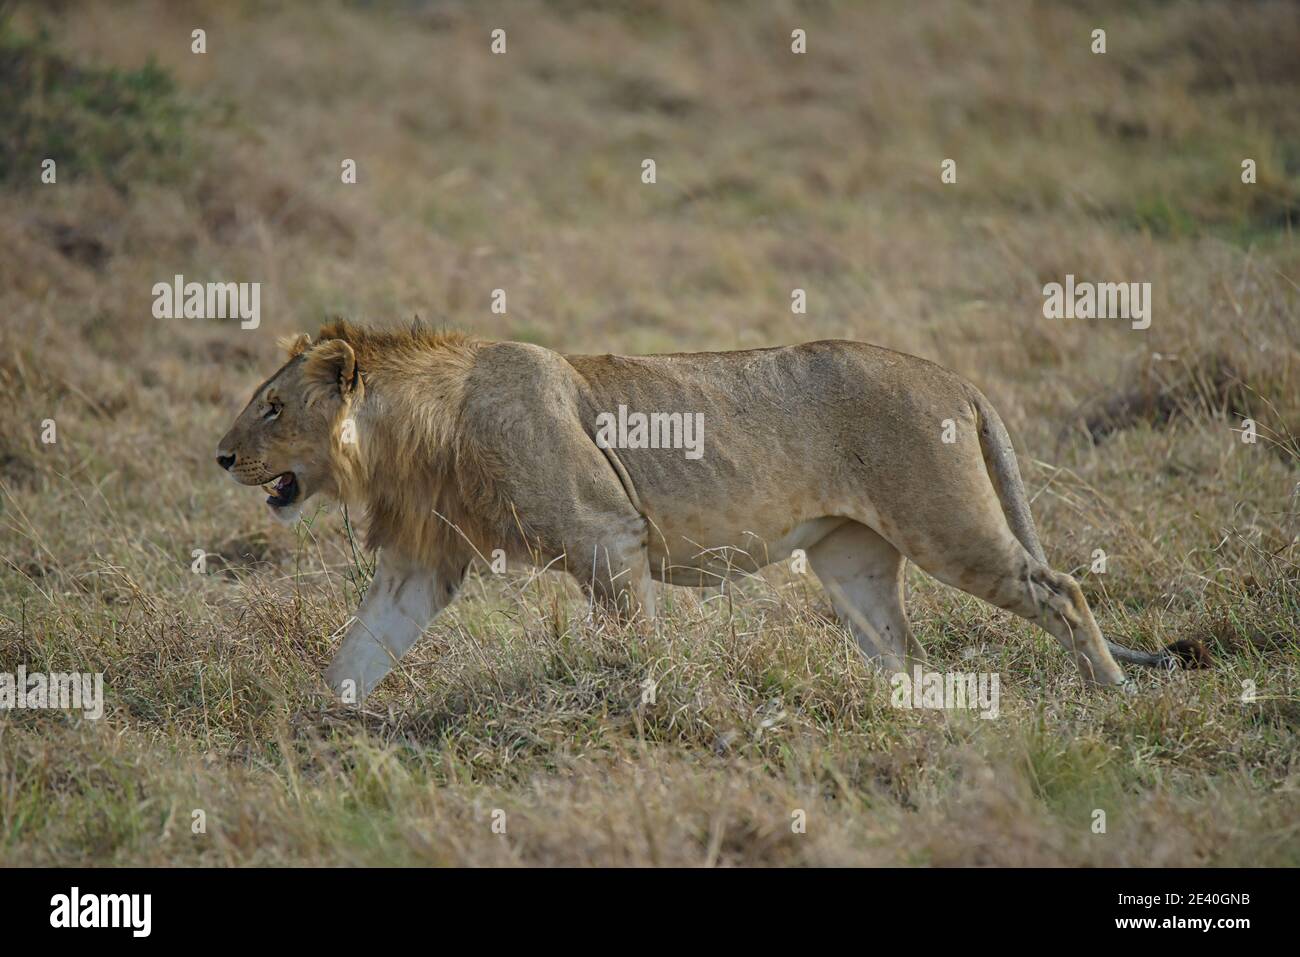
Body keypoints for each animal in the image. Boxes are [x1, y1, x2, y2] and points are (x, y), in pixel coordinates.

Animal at [216, 320, 1207, 702]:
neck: (412, 432)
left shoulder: (609, 537)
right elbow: (358, 651)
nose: (220, 455)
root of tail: (954, 377)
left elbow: (637, 646)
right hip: (851, 560)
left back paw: (1112, 694)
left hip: (950, 527)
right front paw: (319, 731)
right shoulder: (421, 564)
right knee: (902, 650)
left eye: (271, 407)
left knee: (1062, 587)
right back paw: (911, 712)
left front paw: (646, 705)